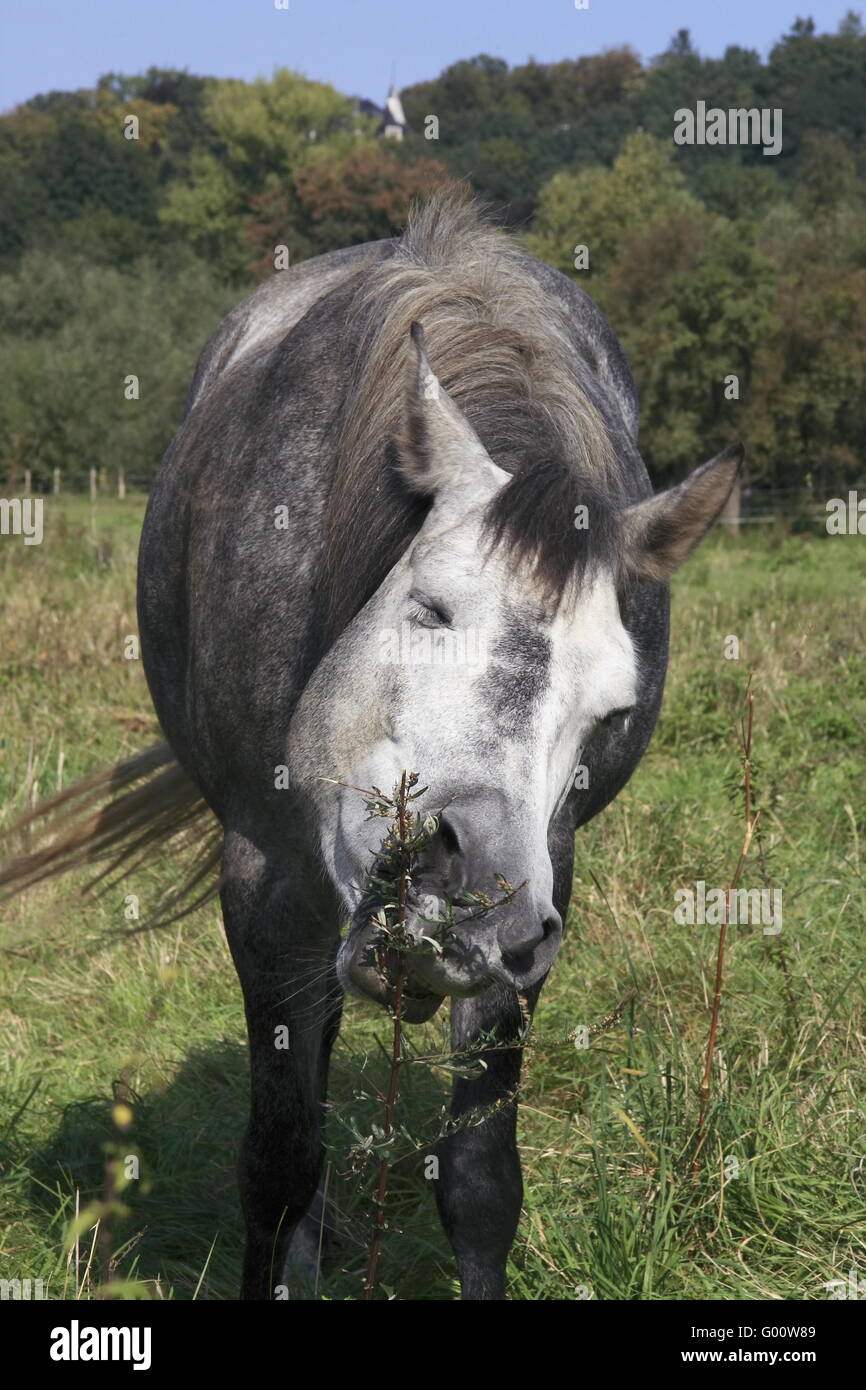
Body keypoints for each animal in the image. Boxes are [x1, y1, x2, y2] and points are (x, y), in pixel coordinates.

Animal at [1, 185, 741, 1300]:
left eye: (612, 710)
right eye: (427, 608)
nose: (463, 897)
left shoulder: (537, 907)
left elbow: (479, 1177)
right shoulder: (266, 881)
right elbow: (276, 1158)